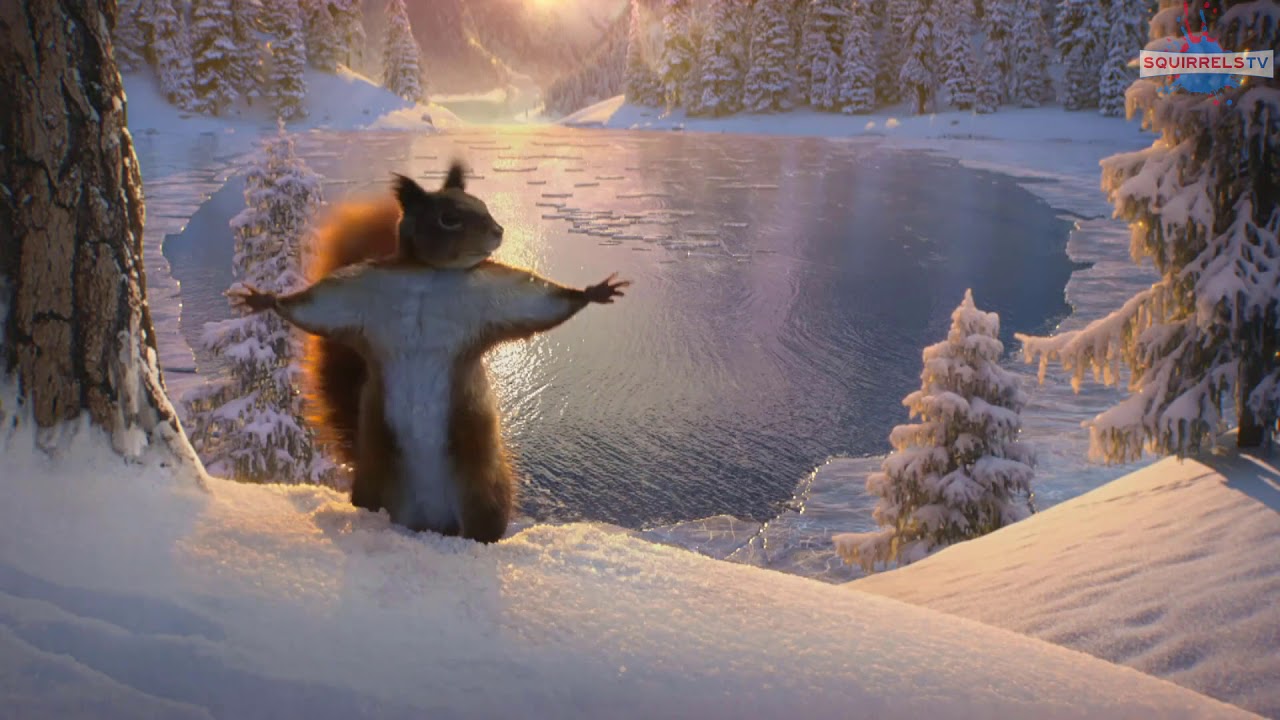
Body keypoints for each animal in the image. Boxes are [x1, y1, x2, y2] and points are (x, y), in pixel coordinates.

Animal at [228, 164, 630, 543]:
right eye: (448, 218)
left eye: (482, 204)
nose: (498, 230)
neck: (430, 275)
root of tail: (431, 524)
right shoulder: (355, 295)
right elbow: (313, 305)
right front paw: (264, 299)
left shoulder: (494, 295)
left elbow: (540, 299)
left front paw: (594, 291)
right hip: (377, 481)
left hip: (479, 487)